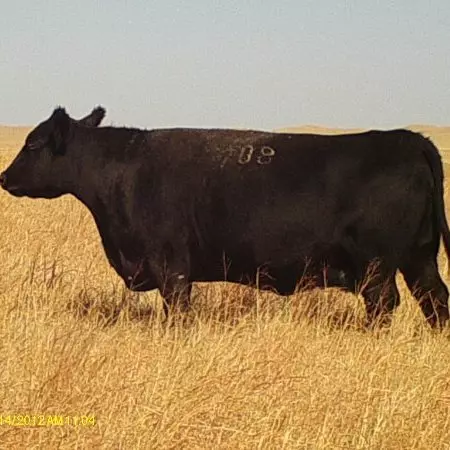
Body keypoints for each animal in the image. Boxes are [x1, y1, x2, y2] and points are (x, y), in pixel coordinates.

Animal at [0, 106, 450, 326]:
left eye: (34, 144)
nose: (5, 177)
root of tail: (408, 139)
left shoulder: (171, 269)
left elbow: (177, 315)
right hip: (420, 258)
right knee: (436, 300)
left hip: (378, 266)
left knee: (385, 304)